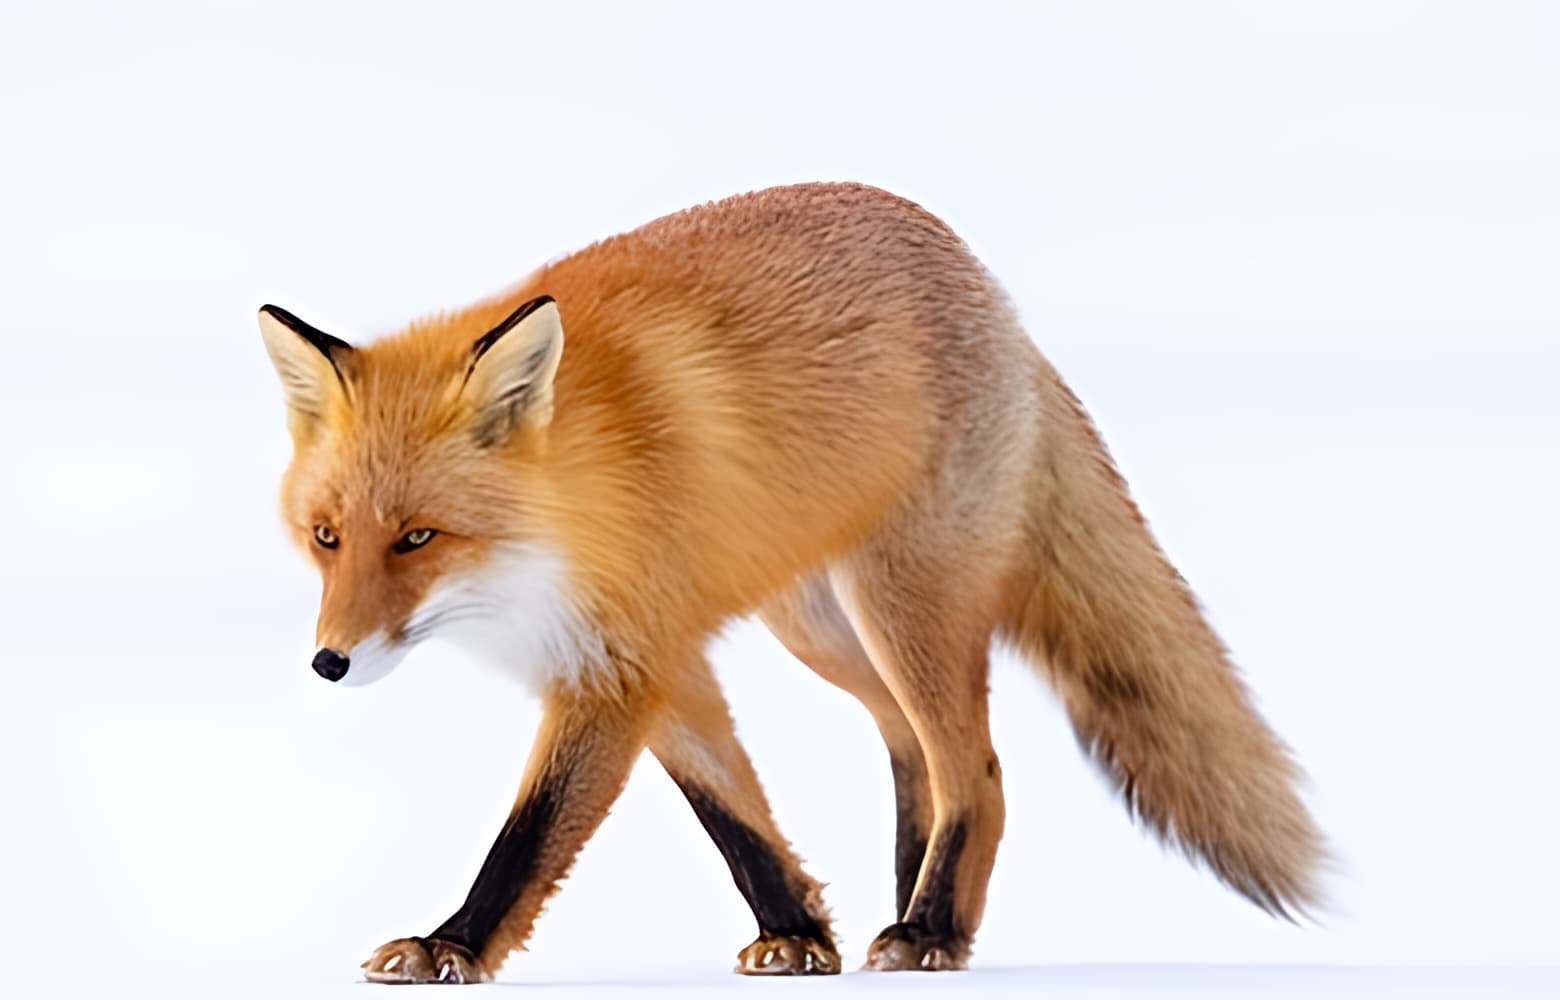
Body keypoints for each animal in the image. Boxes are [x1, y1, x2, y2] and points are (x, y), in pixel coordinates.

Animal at [259, 182, 1324, 984]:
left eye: (417, 538)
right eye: (326, 538)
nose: (328, 663)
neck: (566, 509)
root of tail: (993, 295)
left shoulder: (617, 669)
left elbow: (532, 833)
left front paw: (451, 947)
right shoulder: (654, 656)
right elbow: (733, 810)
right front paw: (799, 933)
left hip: (903, 604)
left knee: (974, 767)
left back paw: (932, 929)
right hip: (814, 627)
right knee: (911, 747)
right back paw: (909, 900)